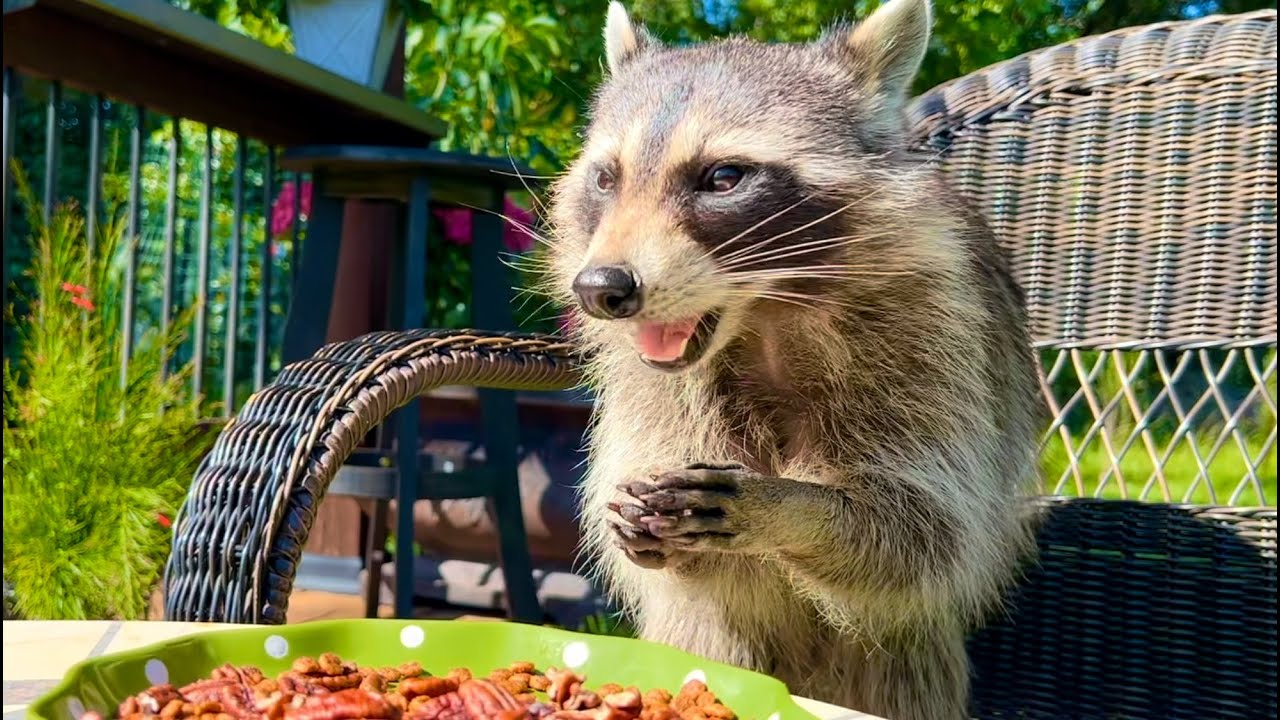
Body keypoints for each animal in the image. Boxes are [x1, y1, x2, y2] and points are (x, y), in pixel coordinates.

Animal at [540, 1, 1044, 717]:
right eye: (607, 178)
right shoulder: (654, 390)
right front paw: (634, 528)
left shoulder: (934, 341)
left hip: (904, 666)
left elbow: (927, 538)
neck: (761, 316)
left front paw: (791, 508)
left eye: (722, 177)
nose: (602, 288)